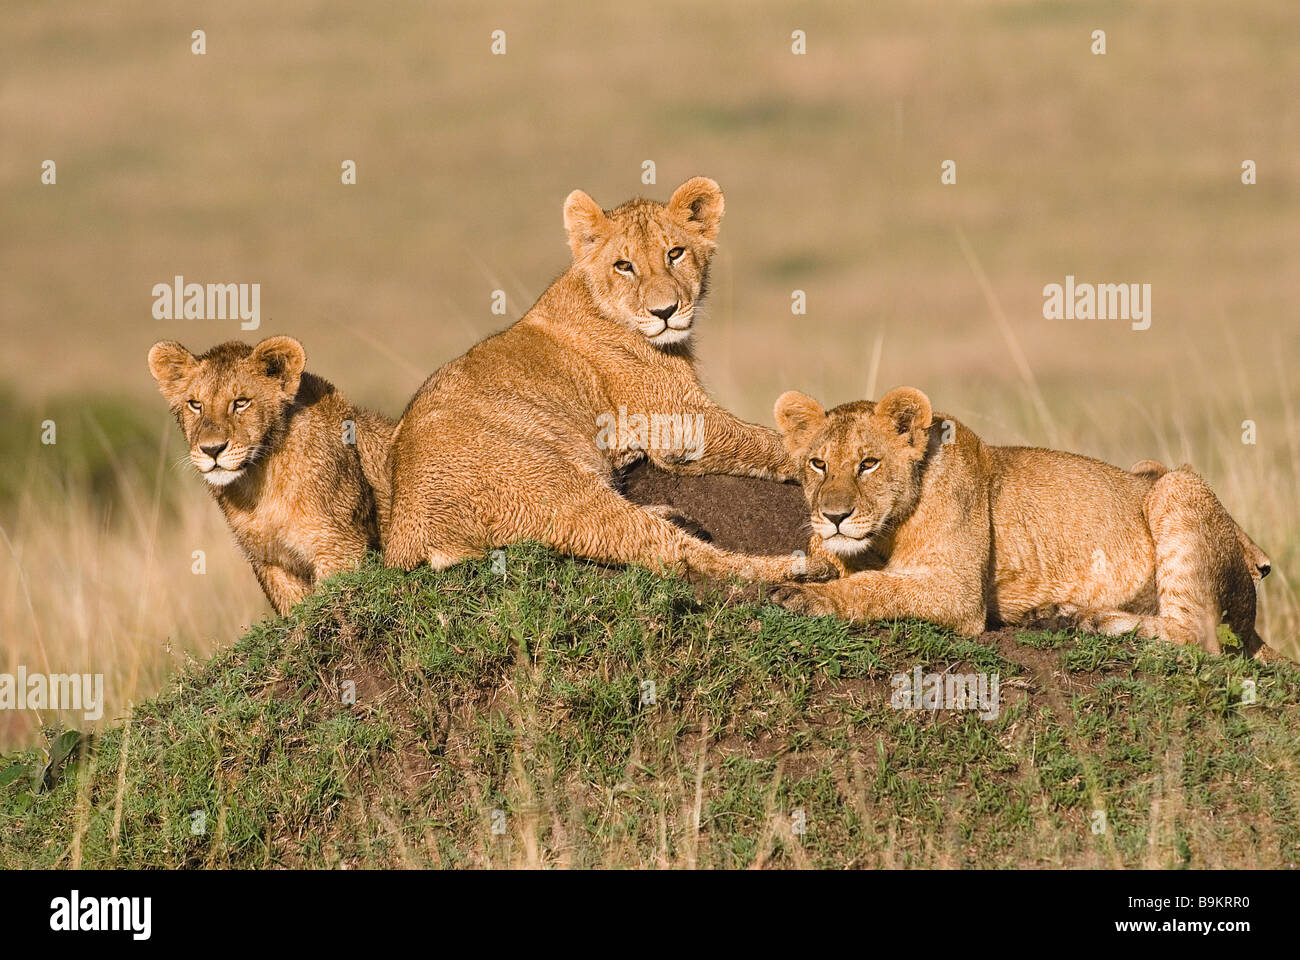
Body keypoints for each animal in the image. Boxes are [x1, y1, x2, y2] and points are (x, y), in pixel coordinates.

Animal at [148, 336, 396, 614]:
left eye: (241, 402)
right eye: (195, 404)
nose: (212, 449)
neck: (258, 483)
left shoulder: (339, 548)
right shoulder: (272, 562)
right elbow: (296, 615)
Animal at [384, 177, 827, 584]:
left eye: (675, 253)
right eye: (624, 265)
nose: (665, 312)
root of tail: (409, 537)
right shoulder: (675, 423)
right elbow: (769, 441)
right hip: (560, 489)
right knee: (683, 559)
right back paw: (807, 563)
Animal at [769, 386, 1273, 658]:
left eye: (868, 463)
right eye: (818, 464)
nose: (834, 516)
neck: (884, 534)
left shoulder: (959, 594)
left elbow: (876, 588)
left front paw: (805, 597)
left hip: (1176, 486)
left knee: (1197, 635)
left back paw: (1091, 619)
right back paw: (1055, 614)